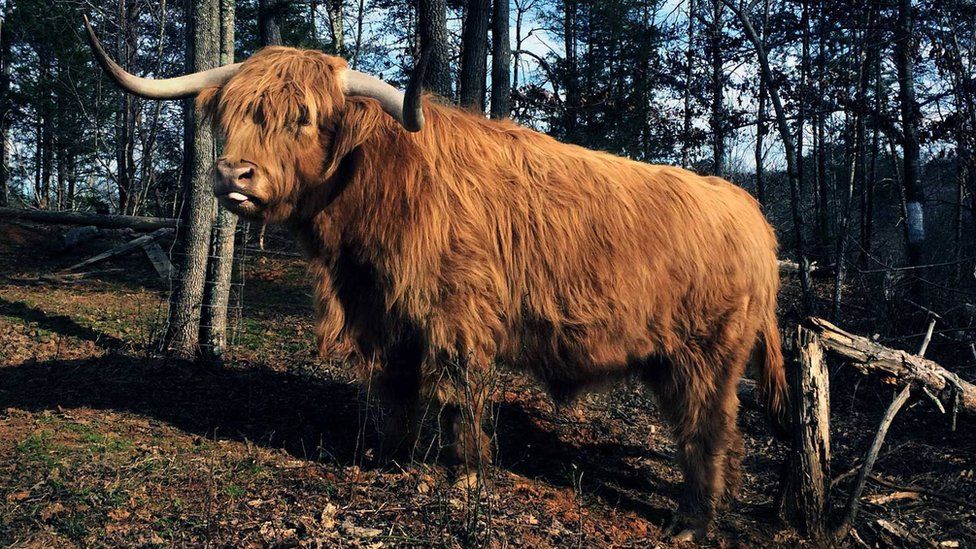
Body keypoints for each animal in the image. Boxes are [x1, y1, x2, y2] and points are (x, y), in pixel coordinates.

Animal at [85, 17, 788, 540]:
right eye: (236, 112)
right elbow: (397, 388)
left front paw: (465, 477)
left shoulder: (459, 315)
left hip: (706, 356)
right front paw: (392, 458)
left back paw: (691, 522)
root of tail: (751, 213)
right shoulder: (384, 312)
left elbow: (459, 396)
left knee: (708, 430)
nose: (234, 174)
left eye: (303, 118)